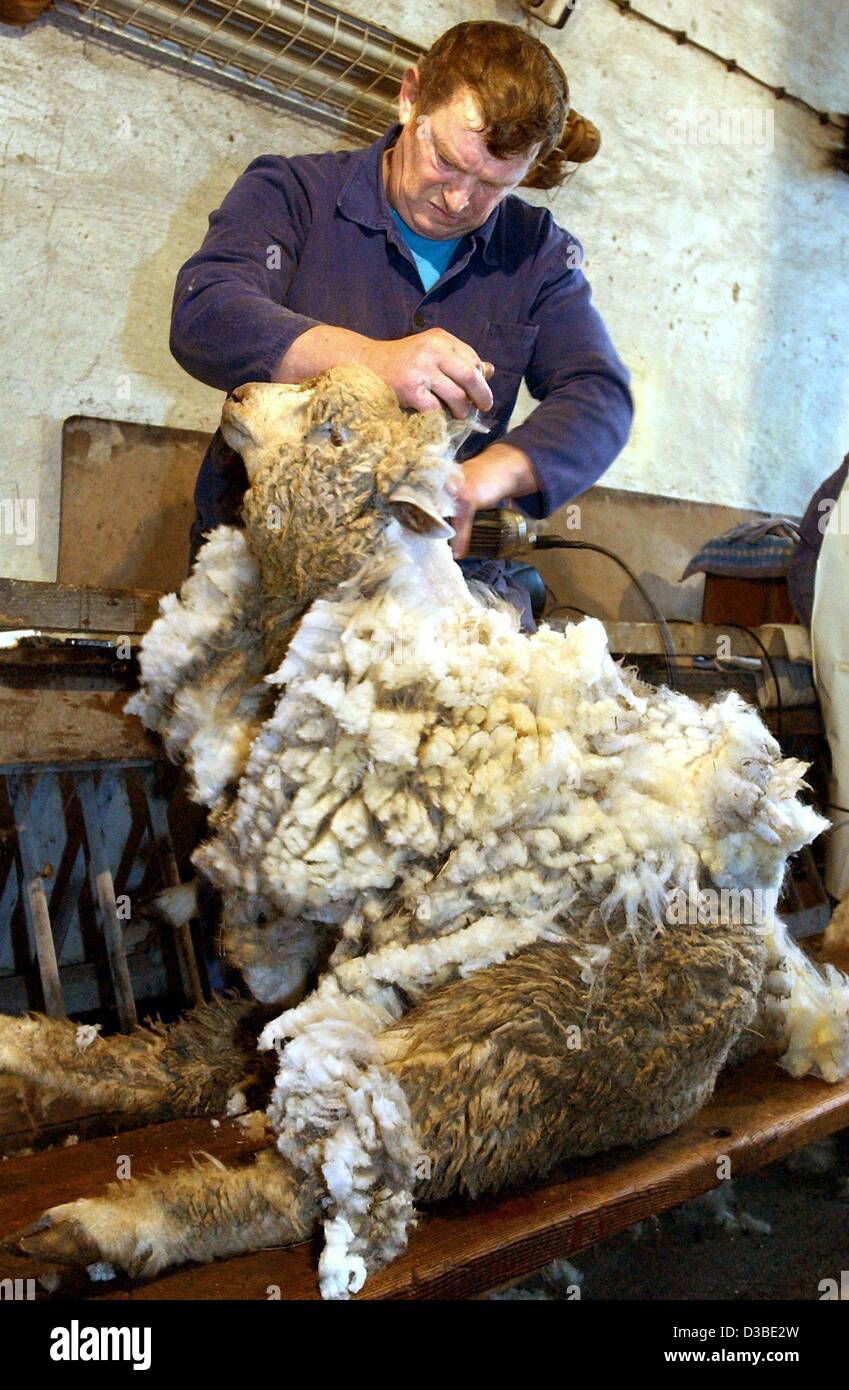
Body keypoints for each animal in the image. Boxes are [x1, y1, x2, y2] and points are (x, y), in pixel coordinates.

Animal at [3, 365, 848, 1300]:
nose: (240, 395)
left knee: (319, 1180)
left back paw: (109, 1225)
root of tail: (768, 982)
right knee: (187, 1060)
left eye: (333, 435)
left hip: (497, 1040)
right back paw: (34, 1060)